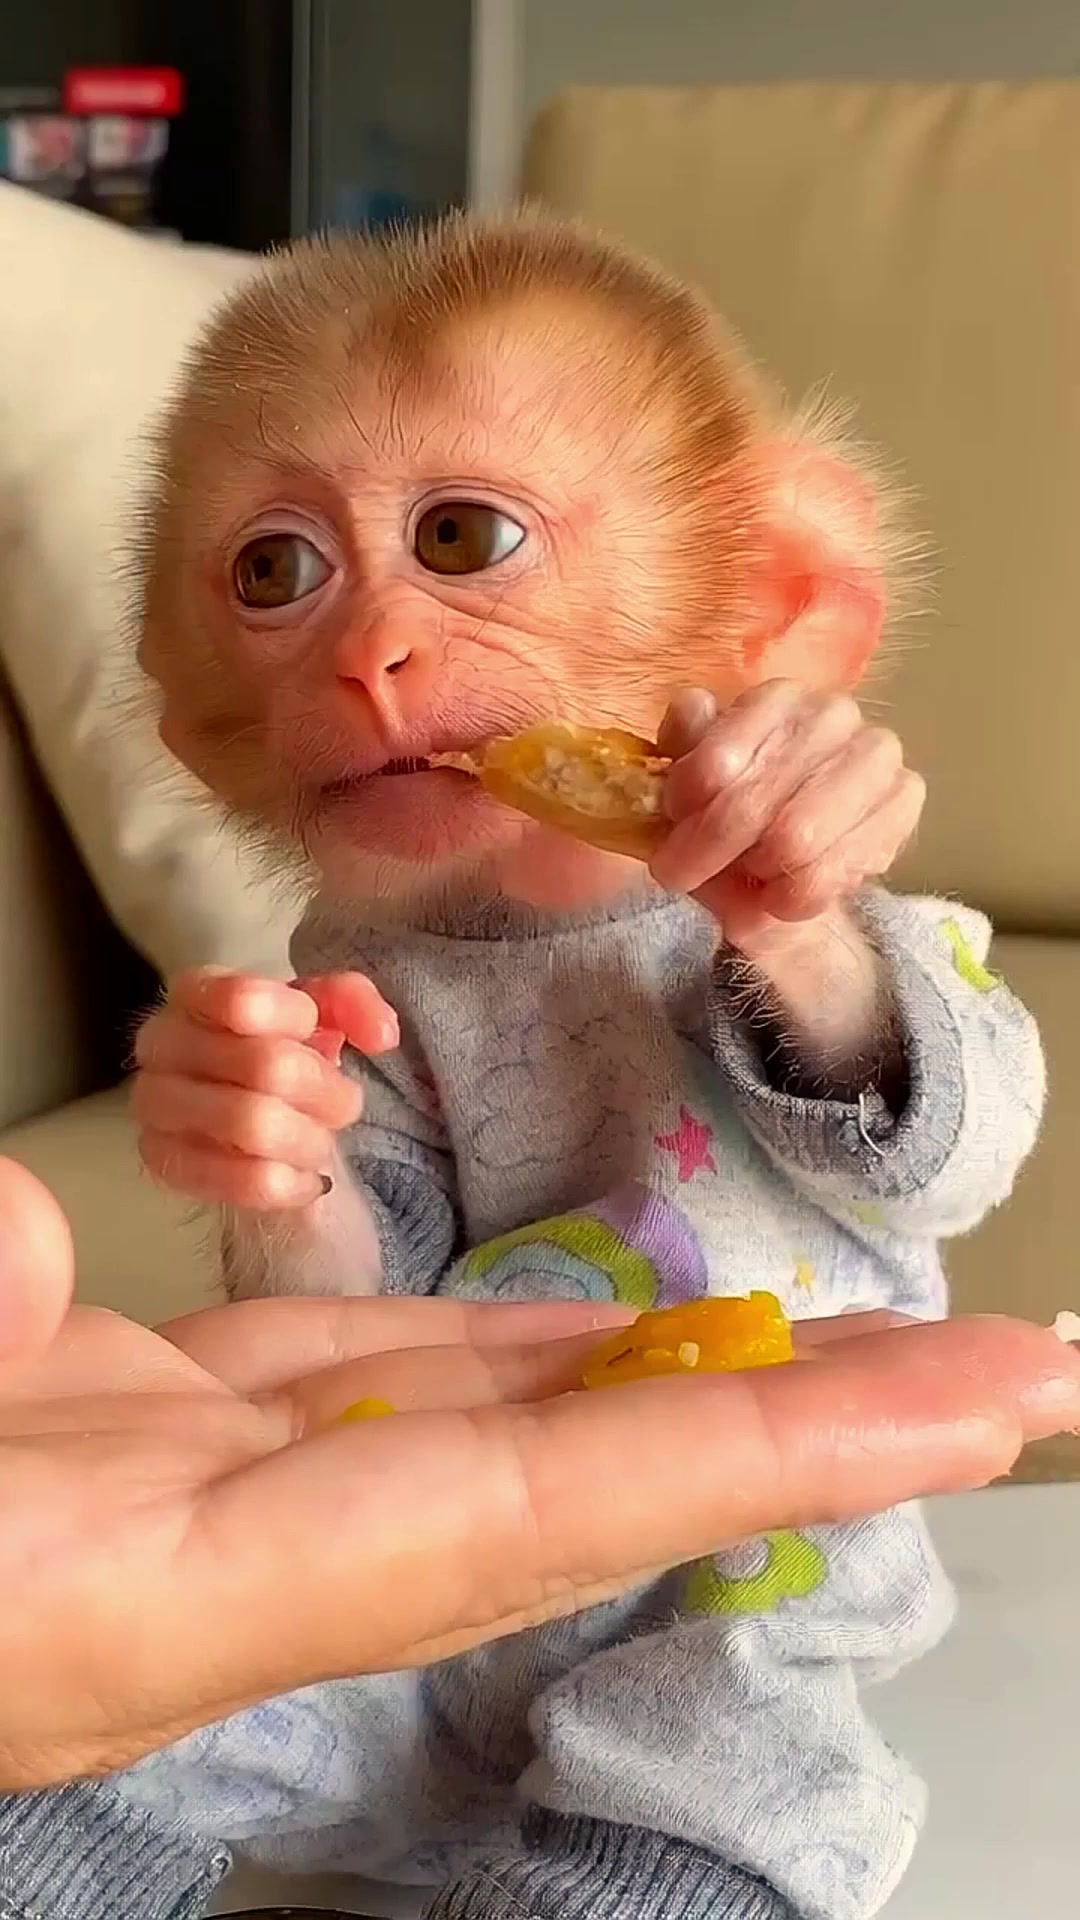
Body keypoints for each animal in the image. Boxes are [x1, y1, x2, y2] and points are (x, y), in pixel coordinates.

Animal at [120, 211, 1043, 1920]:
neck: (539, 908)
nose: (362, 660)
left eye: (461, 540)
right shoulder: (361, 973)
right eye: (276, 575)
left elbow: (958, 1103)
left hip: (757, 1622)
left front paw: (797, 825)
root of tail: (438, 1821)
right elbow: (376, 1258)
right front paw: (237, 1101)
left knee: (707, 1760)